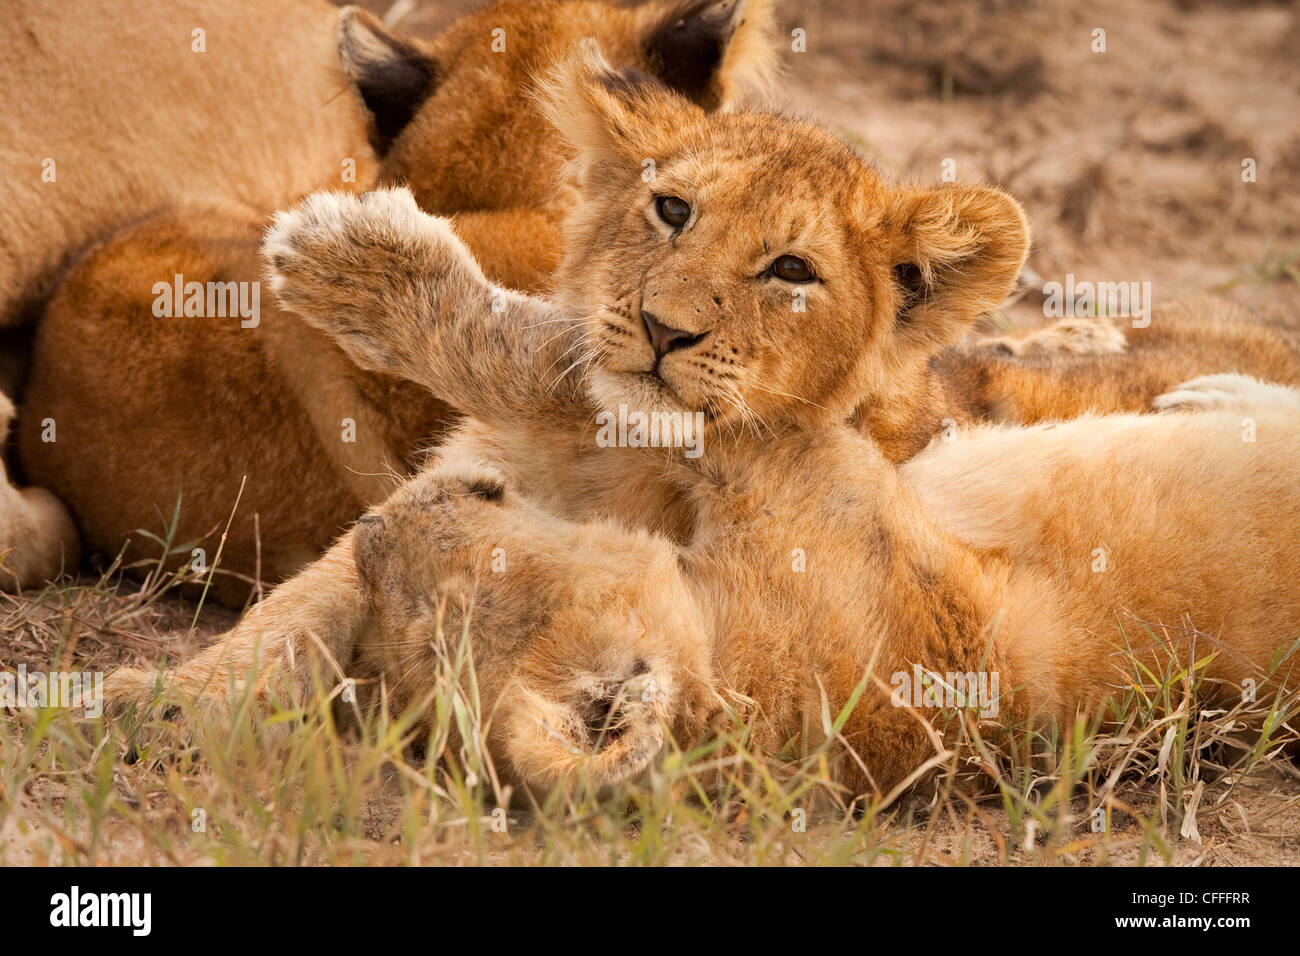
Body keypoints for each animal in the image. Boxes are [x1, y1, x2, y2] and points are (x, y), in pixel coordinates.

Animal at [102, 49, 1300, 799]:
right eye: (671, 209)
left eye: (791, 271)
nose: (662, 327)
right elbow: (293, 612)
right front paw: (157, 704)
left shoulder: (791, 442)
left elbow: (567, 367)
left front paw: (355, 261)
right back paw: (1196, 390)